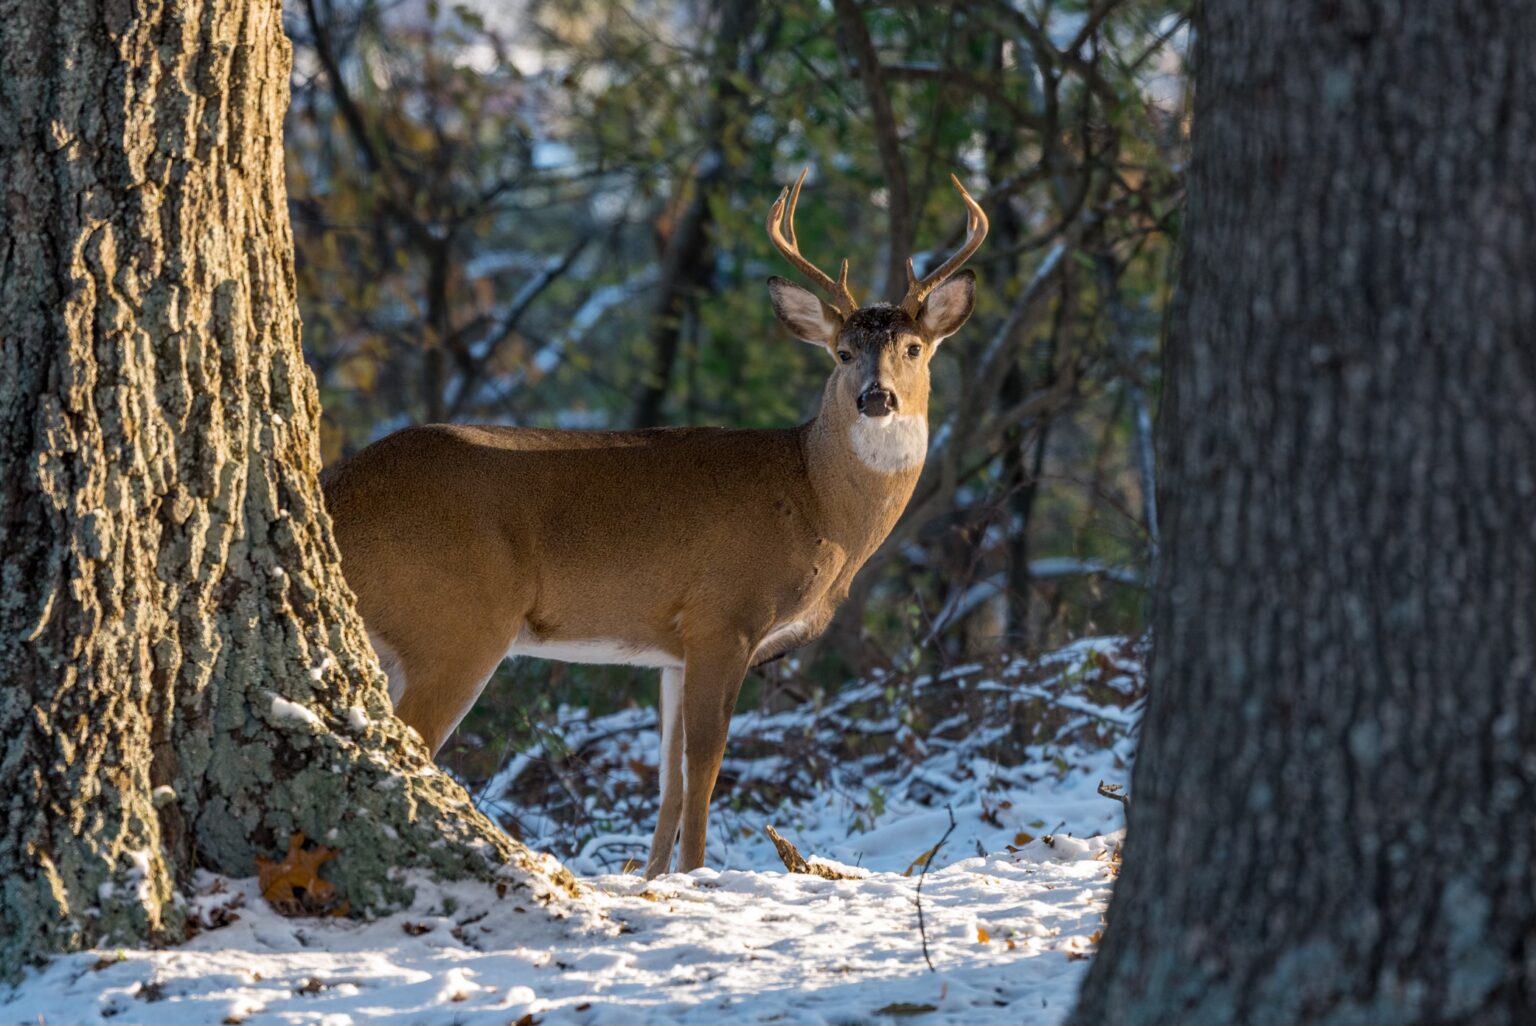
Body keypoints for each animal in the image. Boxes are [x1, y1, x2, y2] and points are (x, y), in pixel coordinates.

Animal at [322, 170, 987, 878]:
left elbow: (668, 779)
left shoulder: (673, 647)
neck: (815, 497)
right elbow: (706, 763)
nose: (876, 397)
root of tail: (333, 487)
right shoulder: (724, 615)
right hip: (455, 621)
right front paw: (698, 875)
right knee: (408, 740)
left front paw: (654, 879)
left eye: (913, 348)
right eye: (840, 353)